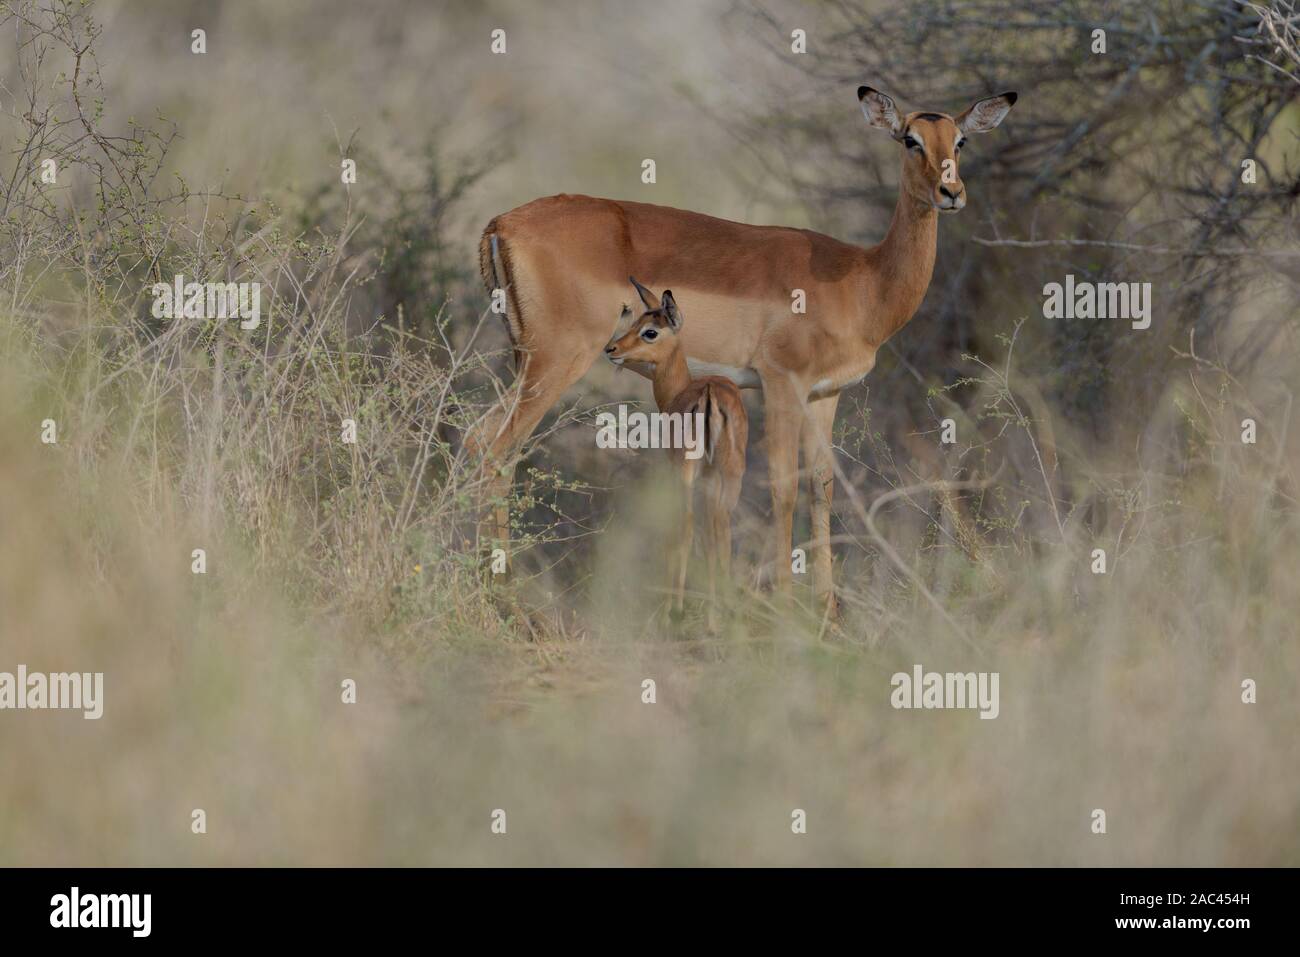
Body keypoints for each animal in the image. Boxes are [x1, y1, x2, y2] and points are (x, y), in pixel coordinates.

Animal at [604, 280, 748, 627]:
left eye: (650, 331)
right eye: (635, 321)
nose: (611, 349)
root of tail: (709, 394)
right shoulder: (711, 480)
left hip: (685, 472)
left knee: (686, 525)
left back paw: (677, 609)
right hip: (730, 474)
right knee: (720, 529)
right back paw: (719, 615)